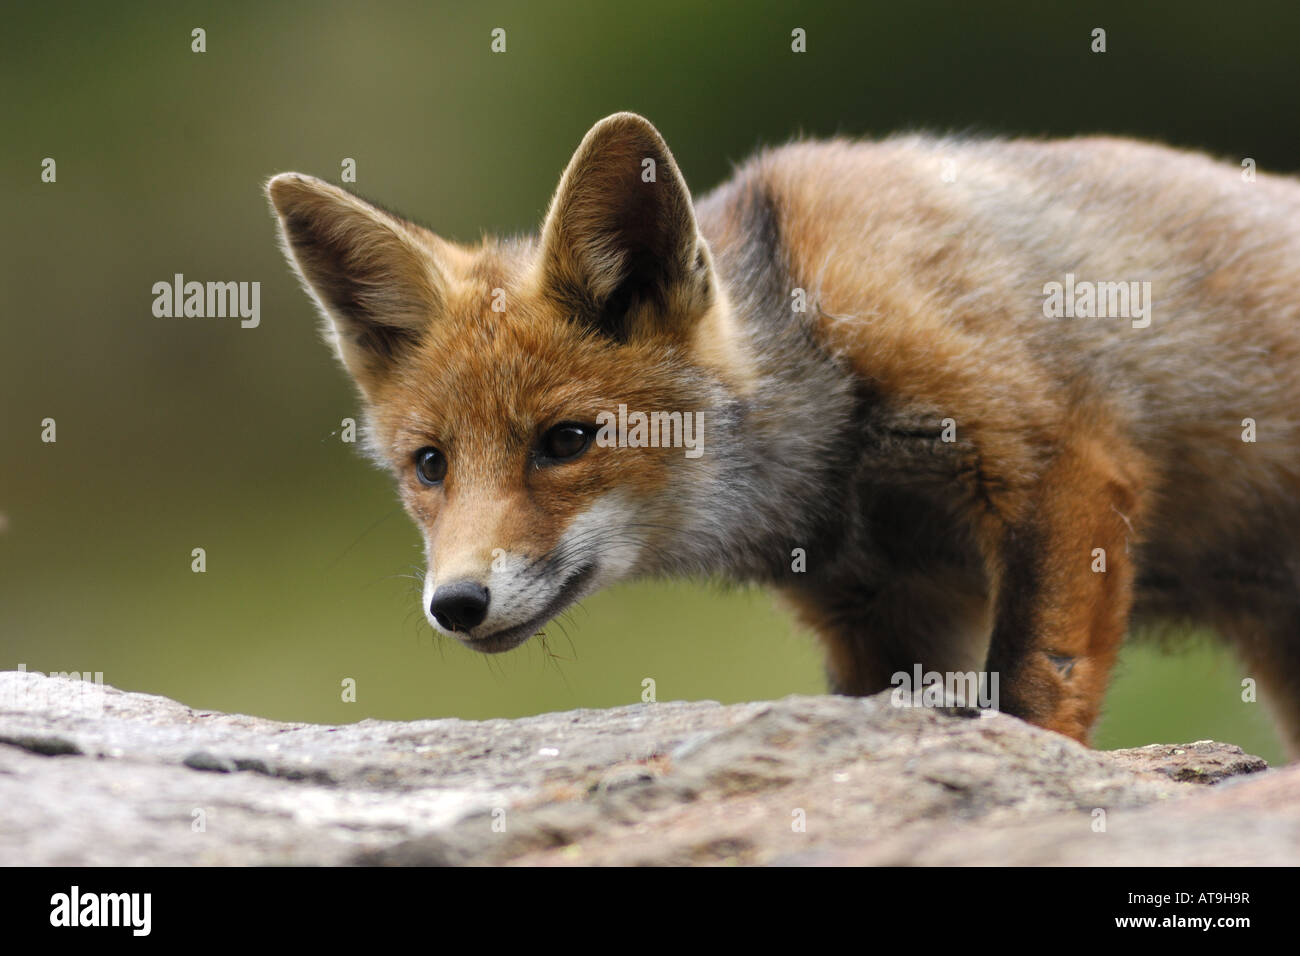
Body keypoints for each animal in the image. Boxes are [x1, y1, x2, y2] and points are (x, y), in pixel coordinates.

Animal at [268, 112, 1300, 753]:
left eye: (565, 441)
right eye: (428, 465)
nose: (457, 604)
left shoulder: (1063, 463)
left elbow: (1033, 694)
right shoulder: (879, 604)